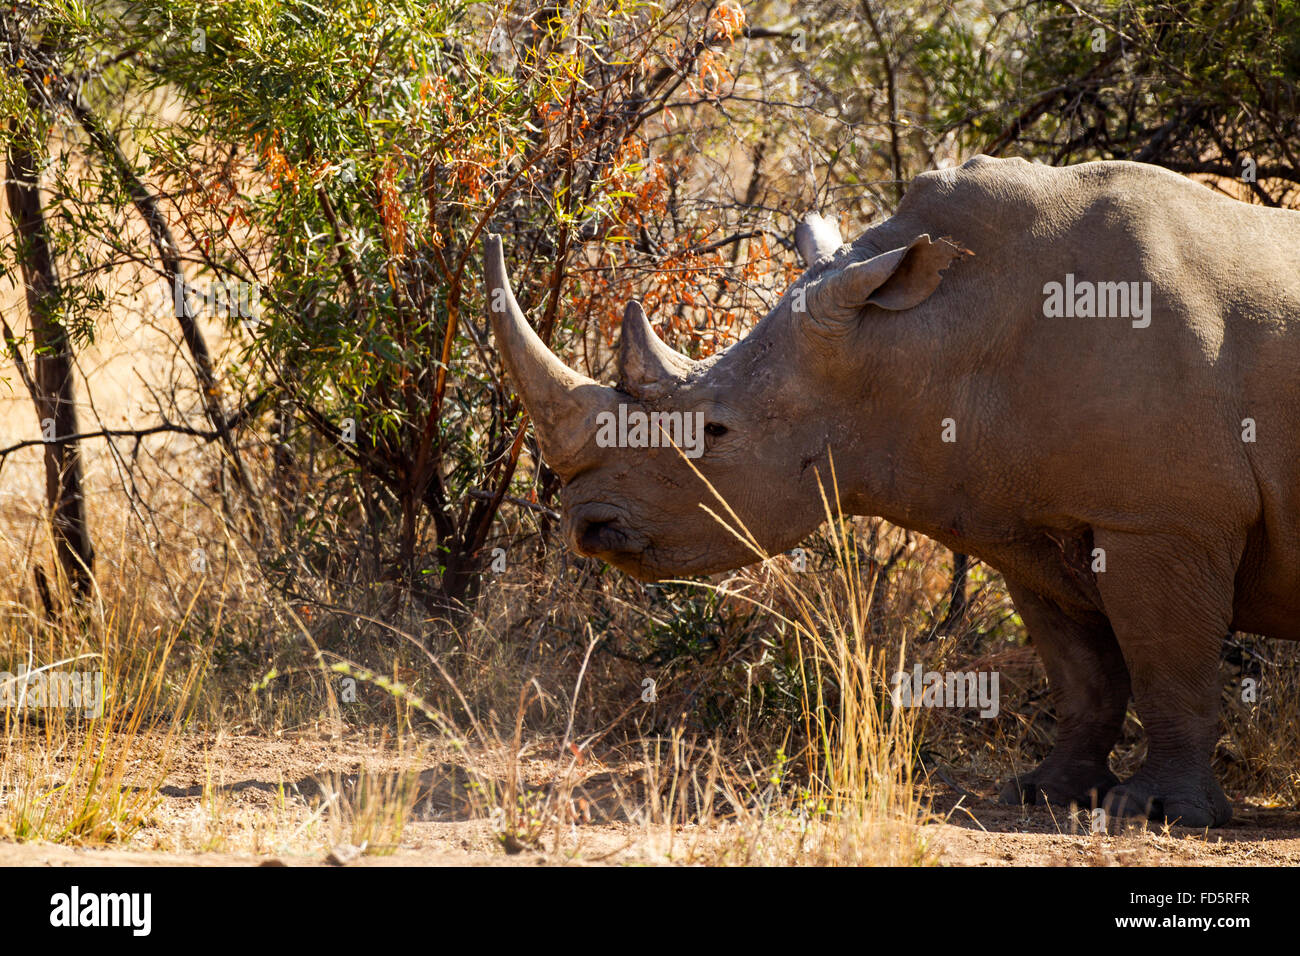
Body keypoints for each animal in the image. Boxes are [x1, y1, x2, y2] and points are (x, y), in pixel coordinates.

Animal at [483, 154, 1300, 828]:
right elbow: (1083, 674)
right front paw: (1045, 793)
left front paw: (1160, 813)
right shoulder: (1033, 521)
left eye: (714, 432)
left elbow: (1169, 665)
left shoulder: (1161, 521)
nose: (589, 525)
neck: (927, 336)